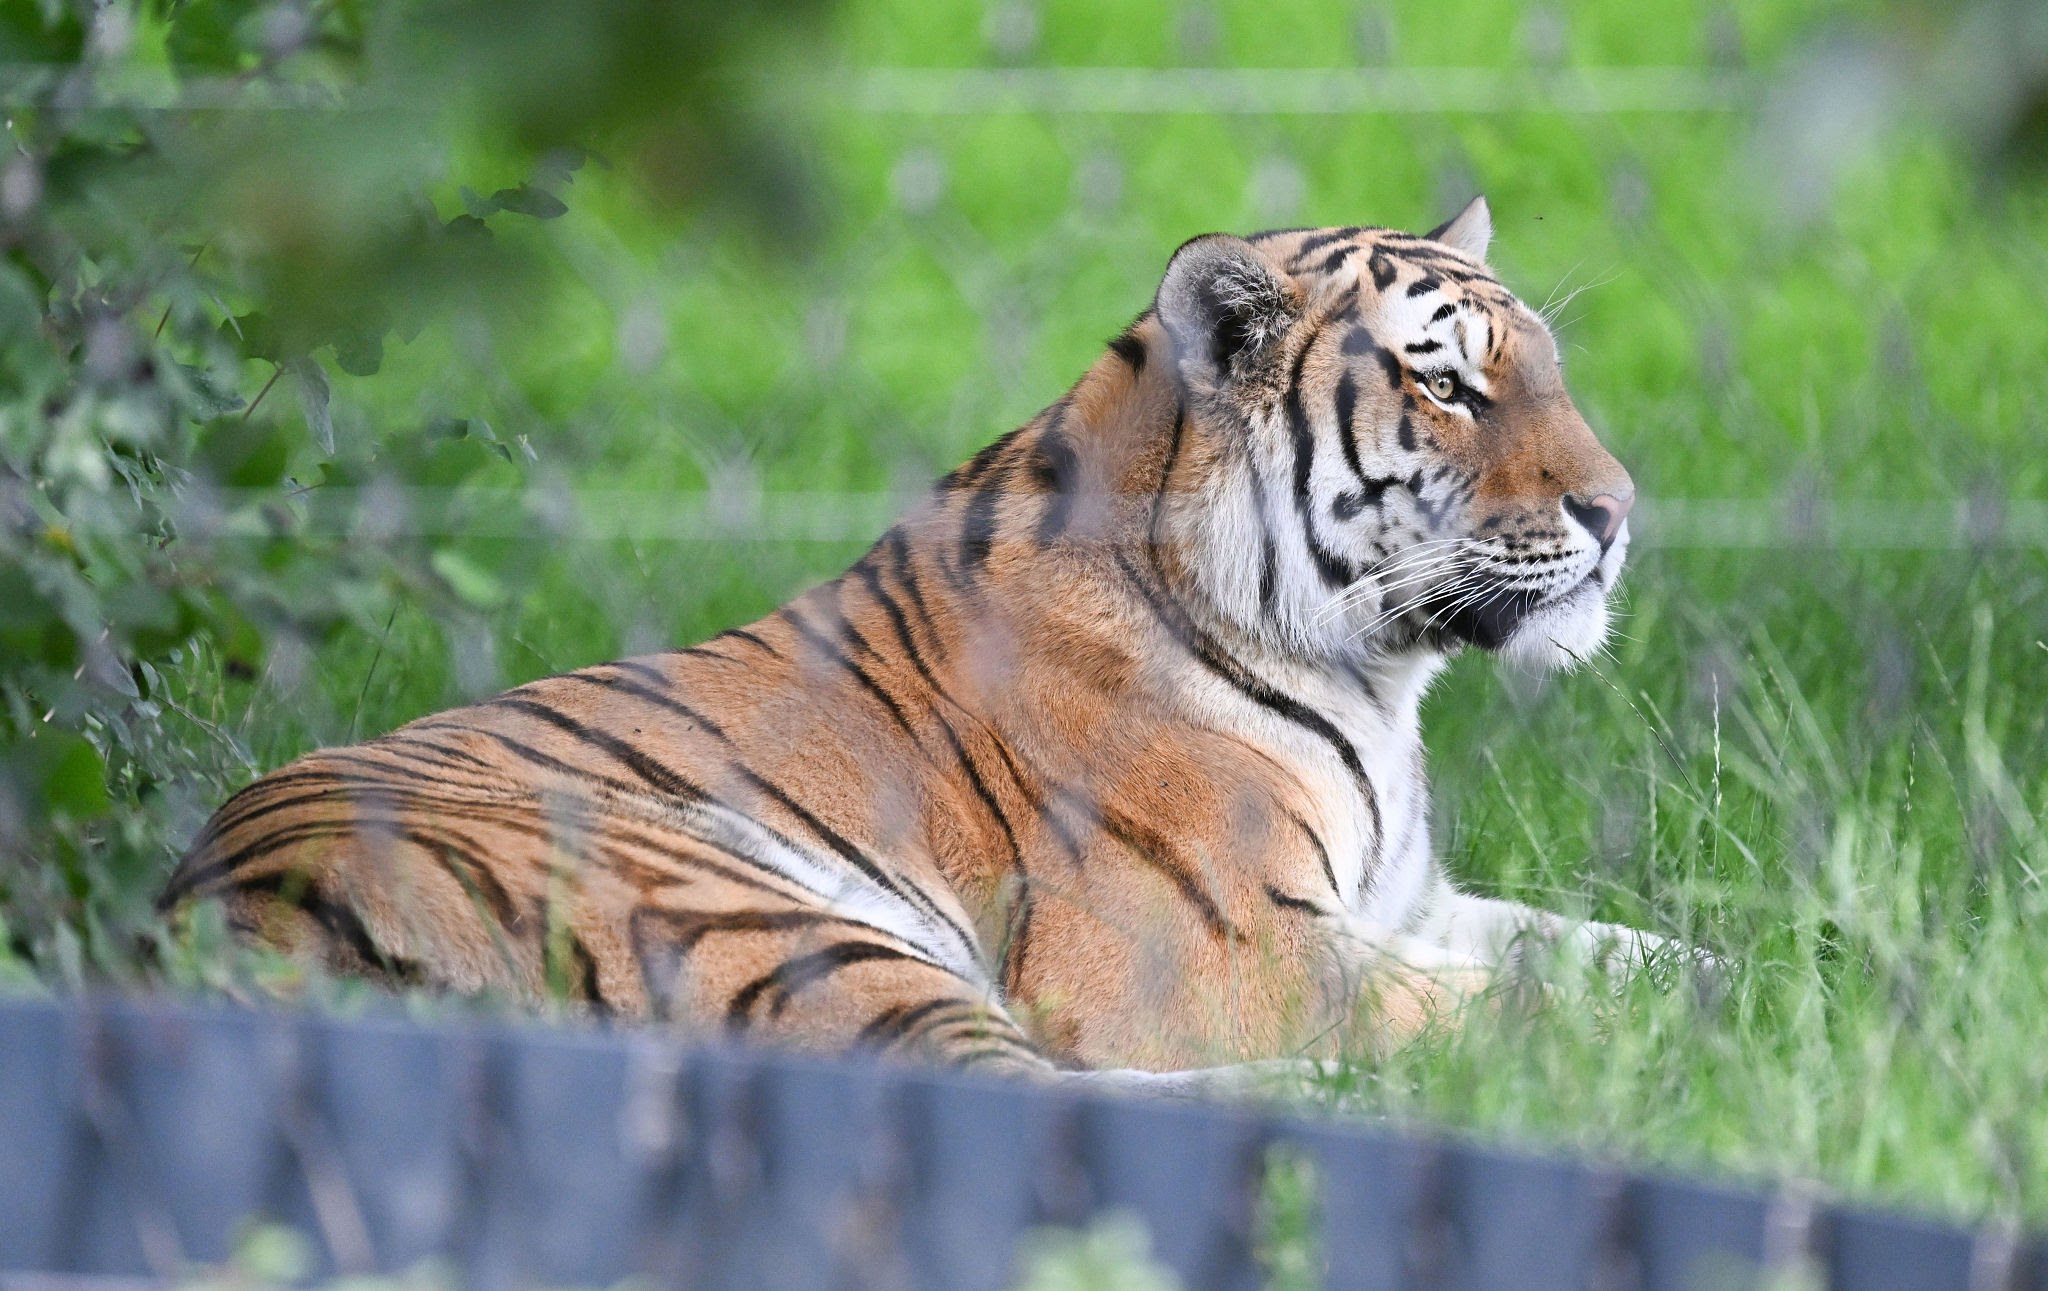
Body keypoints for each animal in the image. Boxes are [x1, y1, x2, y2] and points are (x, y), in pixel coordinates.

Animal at [160, 197, 1687, 1096]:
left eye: (1544, 369)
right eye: (1447, 385)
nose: (1619, 511)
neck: (1374, 676)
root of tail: (205, 918)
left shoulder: (1408, 904)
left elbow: (1623, 950)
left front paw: (1735, 980)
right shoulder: (1222, 950)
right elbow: (1510, 1006)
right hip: (762, 914)